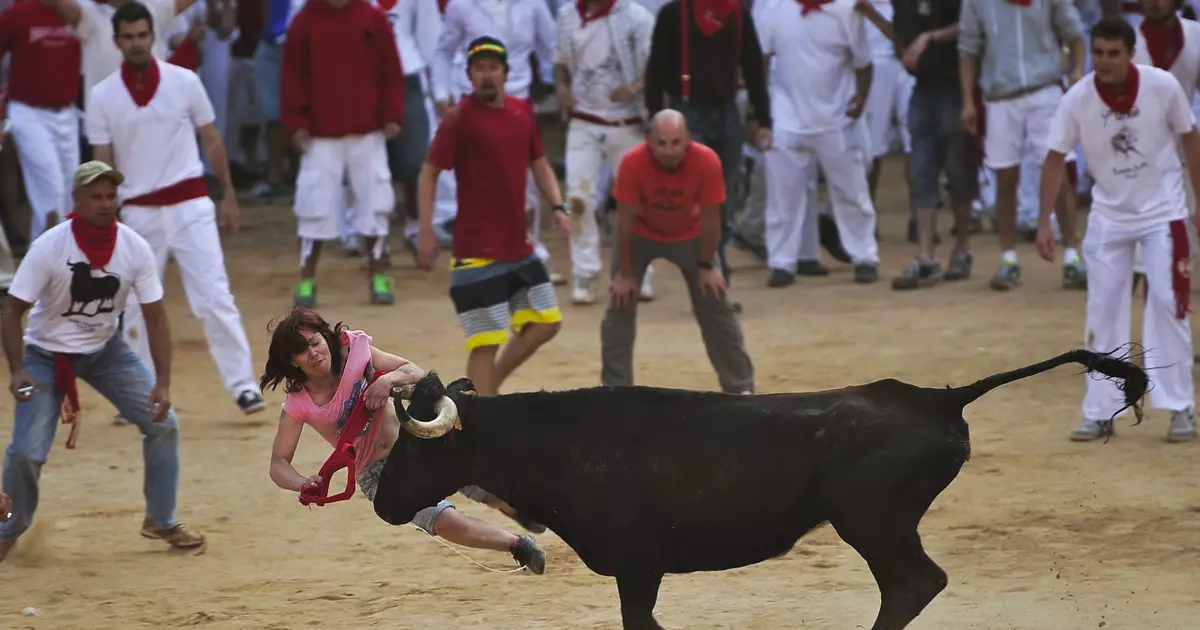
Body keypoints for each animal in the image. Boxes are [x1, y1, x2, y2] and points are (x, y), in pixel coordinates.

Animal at [372, 348, 1142, 628]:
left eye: (410, 445)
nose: (380, 503)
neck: (562, 441)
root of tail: (938, 398)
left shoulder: (638, 567)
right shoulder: (638, 571)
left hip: (874, 520)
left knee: (914, 583)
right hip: (879, 523)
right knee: (914, 585)